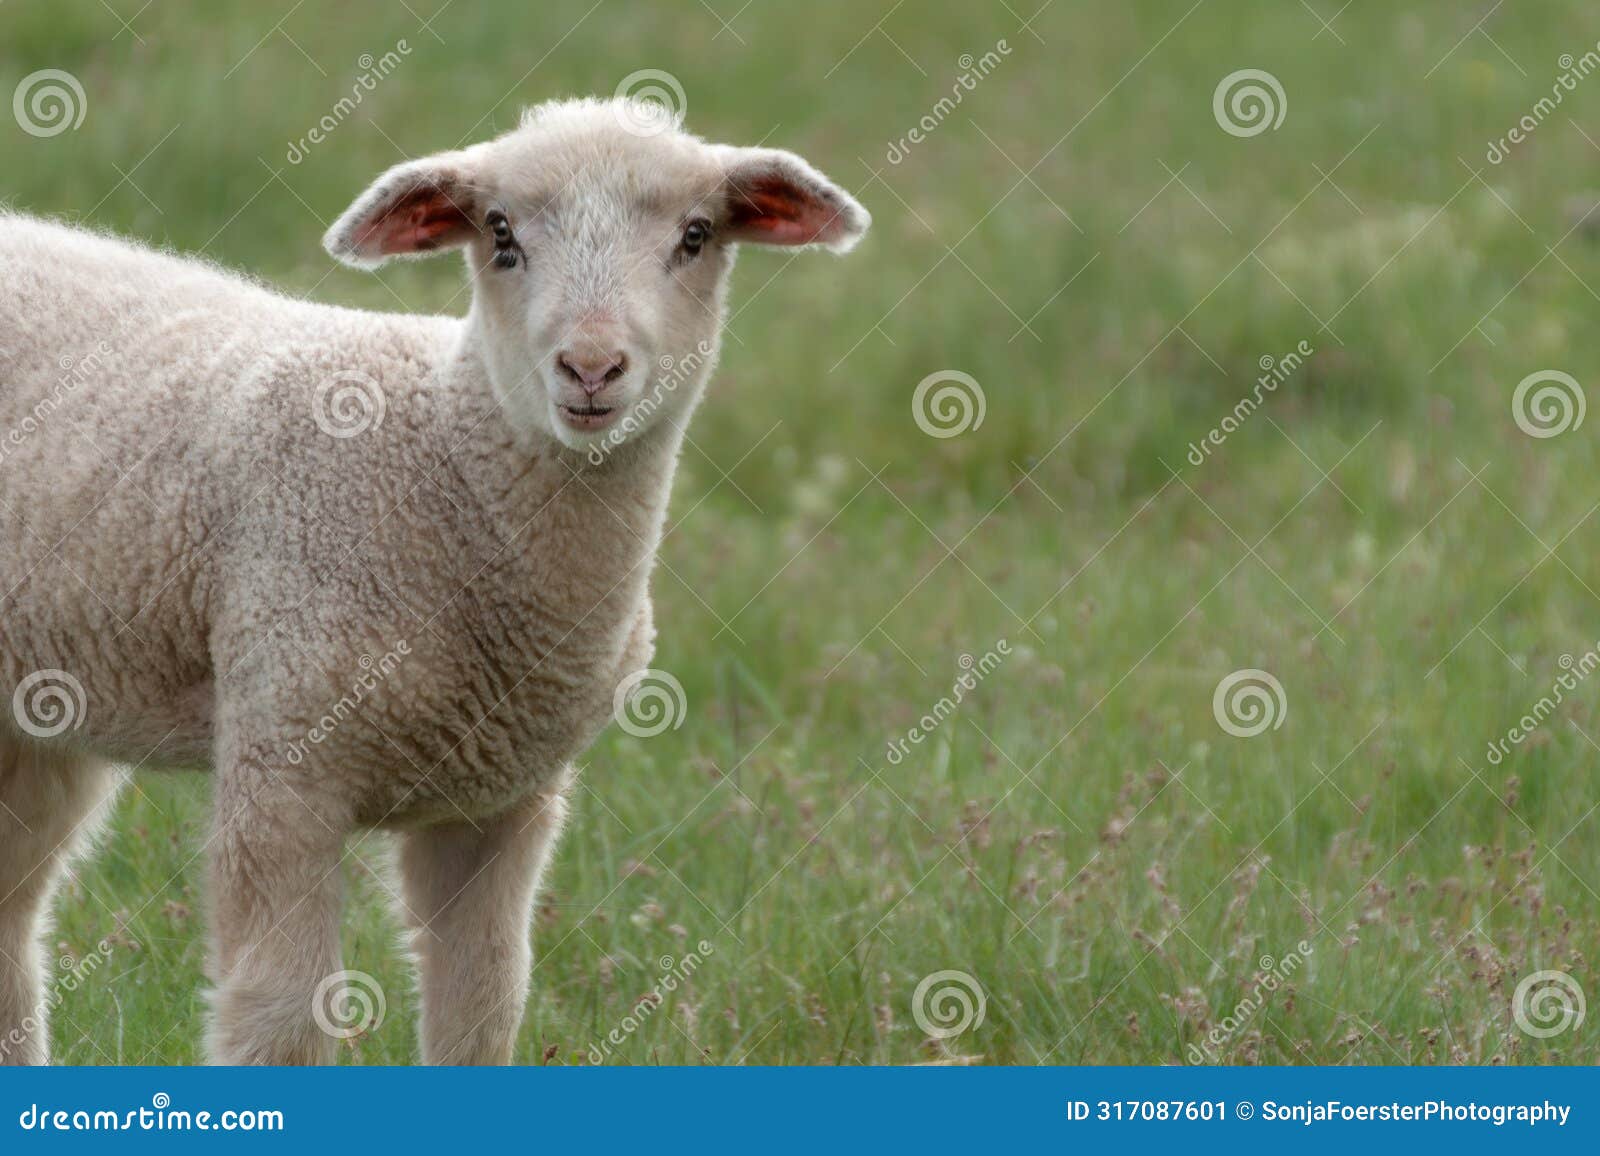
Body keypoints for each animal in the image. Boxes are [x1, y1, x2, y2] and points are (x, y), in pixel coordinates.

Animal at [0, 95, 869, 1065]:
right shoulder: (281, 763)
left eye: (695, 235)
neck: (441, 457)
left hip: (36, 718)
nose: (591, 368)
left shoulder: (501, 803)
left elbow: (482, 1009)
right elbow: (280, 1019)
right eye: (501, 234)